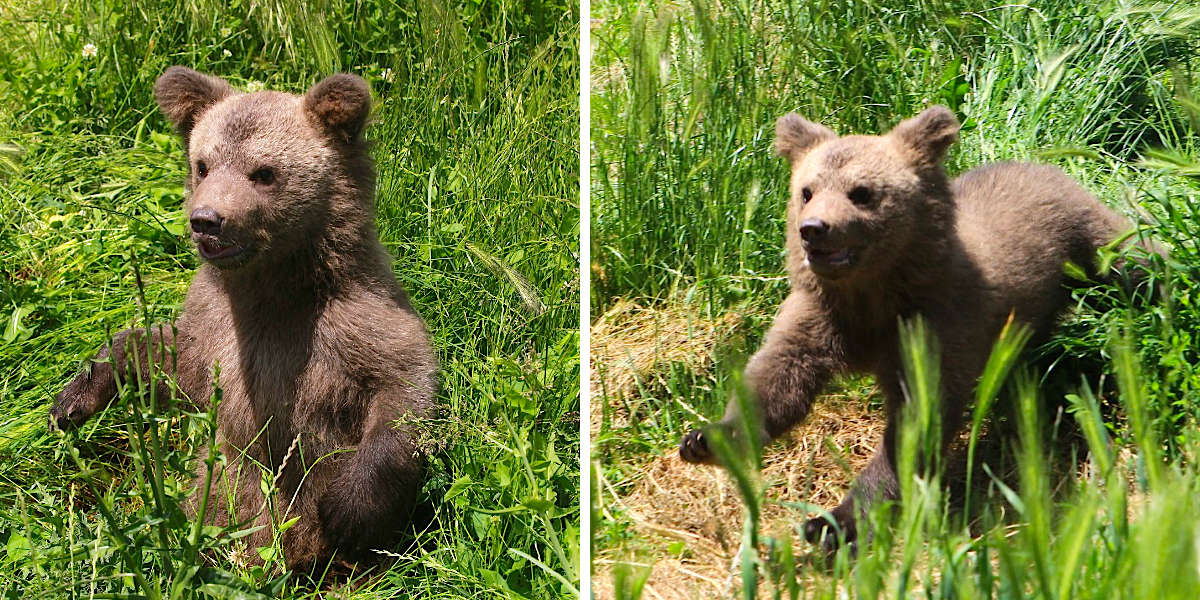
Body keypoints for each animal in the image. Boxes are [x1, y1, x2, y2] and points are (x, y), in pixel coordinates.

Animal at [49, 67, 439, 571]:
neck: (272, 286)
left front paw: (347, 510)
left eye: (264, 172)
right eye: (202, 164)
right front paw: (73, 399)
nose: (206, 220)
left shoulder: (352, 320)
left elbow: (403, 383)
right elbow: (166, 357)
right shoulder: (216, 328)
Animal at [678, 105, 1147, 550]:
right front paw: (707, 439)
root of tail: (1041, 164)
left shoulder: (933, 327)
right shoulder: (819, 316)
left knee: (1136, 259)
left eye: (862, 192)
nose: (813, 230)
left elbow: (916, 421)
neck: (874, 295)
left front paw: (834, 523)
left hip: (1090, 242)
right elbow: (776, 380)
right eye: (806, 190)